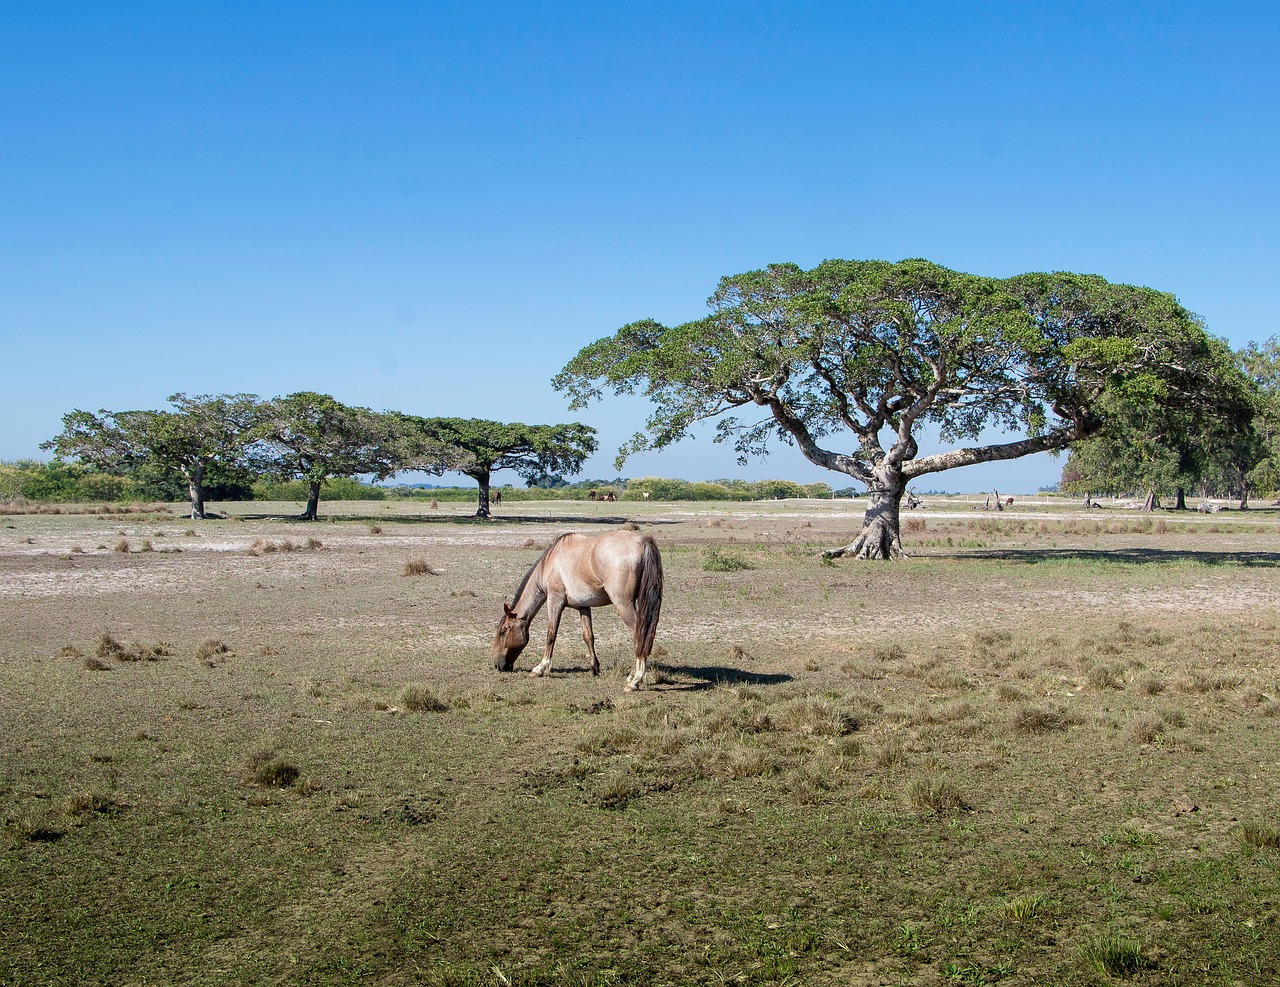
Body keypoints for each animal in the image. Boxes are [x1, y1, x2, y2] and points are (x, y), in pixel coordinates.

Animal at [493, 529, 663, 691]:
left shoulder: (554, 600)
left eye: (502, 631)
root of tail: (642, 541)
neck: (551, 563)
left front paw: (540, 668)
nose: (497, 665)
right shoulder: (583, 607)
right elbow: (588, 636)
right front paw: (595, 668)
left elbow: (551, 635)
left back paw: (635, 680)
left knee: (639, 637)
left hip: (624, 605)